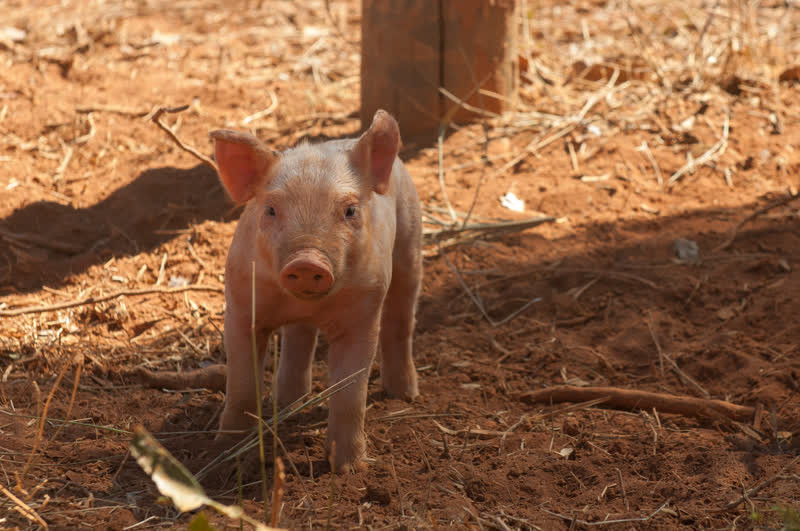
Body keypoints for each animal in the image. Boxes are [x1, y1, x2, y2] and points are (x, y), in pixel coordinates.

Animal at [210, 110, 422, 472]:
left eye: (350, 210)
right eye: (271, 210)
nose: (308, 262)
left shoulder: (363, 314)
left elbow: (350, 392)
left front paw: (349, 470)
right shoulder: (239, 303)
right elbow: (241, 381)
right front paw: (227, 447)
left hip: (411, 238)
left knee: (401, 319)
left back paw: (405, 395)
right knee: (299, 337)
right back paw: (287, 402)